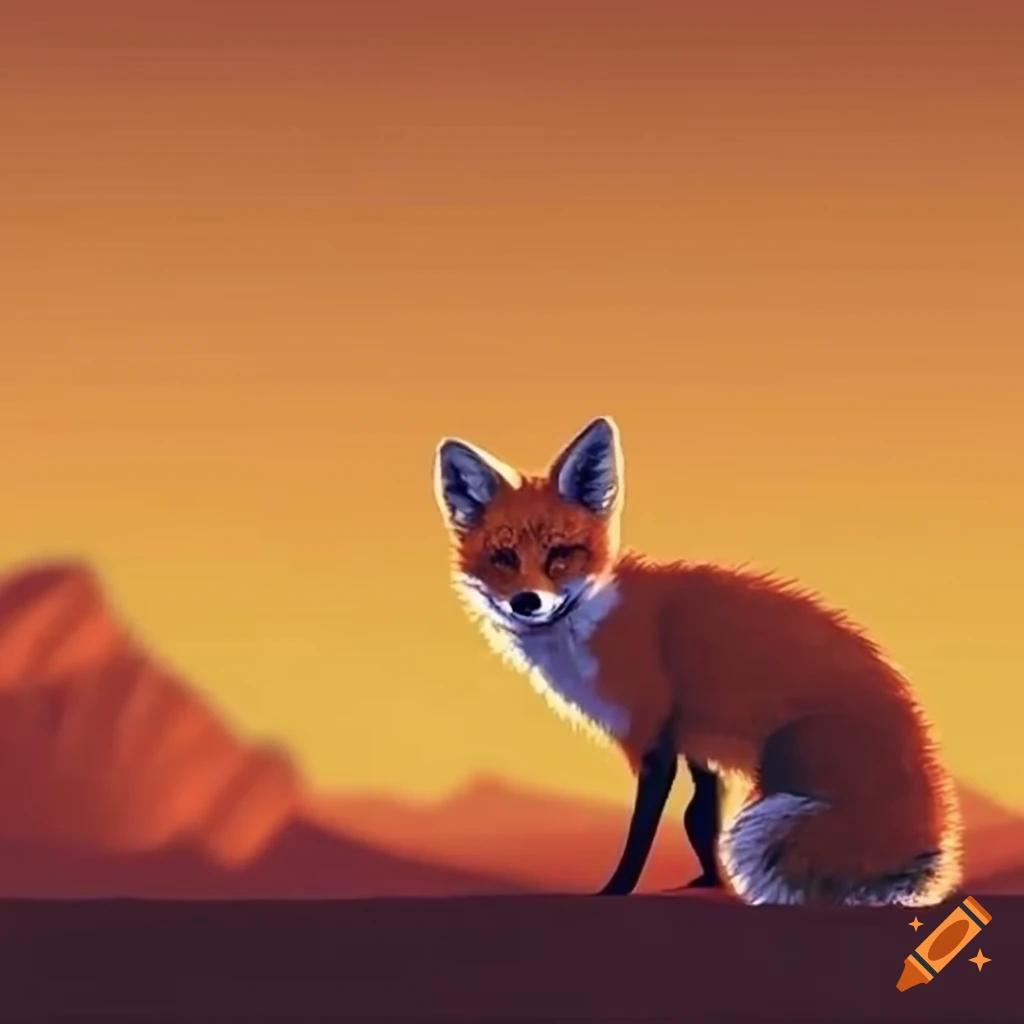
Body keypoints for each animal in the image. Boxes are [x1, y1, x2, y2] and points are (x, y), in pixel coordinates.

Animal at [432, 415, 962, 906]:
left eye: (561, 554)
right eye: (503, 558)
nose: (527, 602)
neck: (596, 621)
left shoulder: (654, 739)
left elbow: (643, 834)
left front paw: (617, 890)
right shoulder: (695, 741)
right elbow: (700, 818)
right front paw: (710, 882)